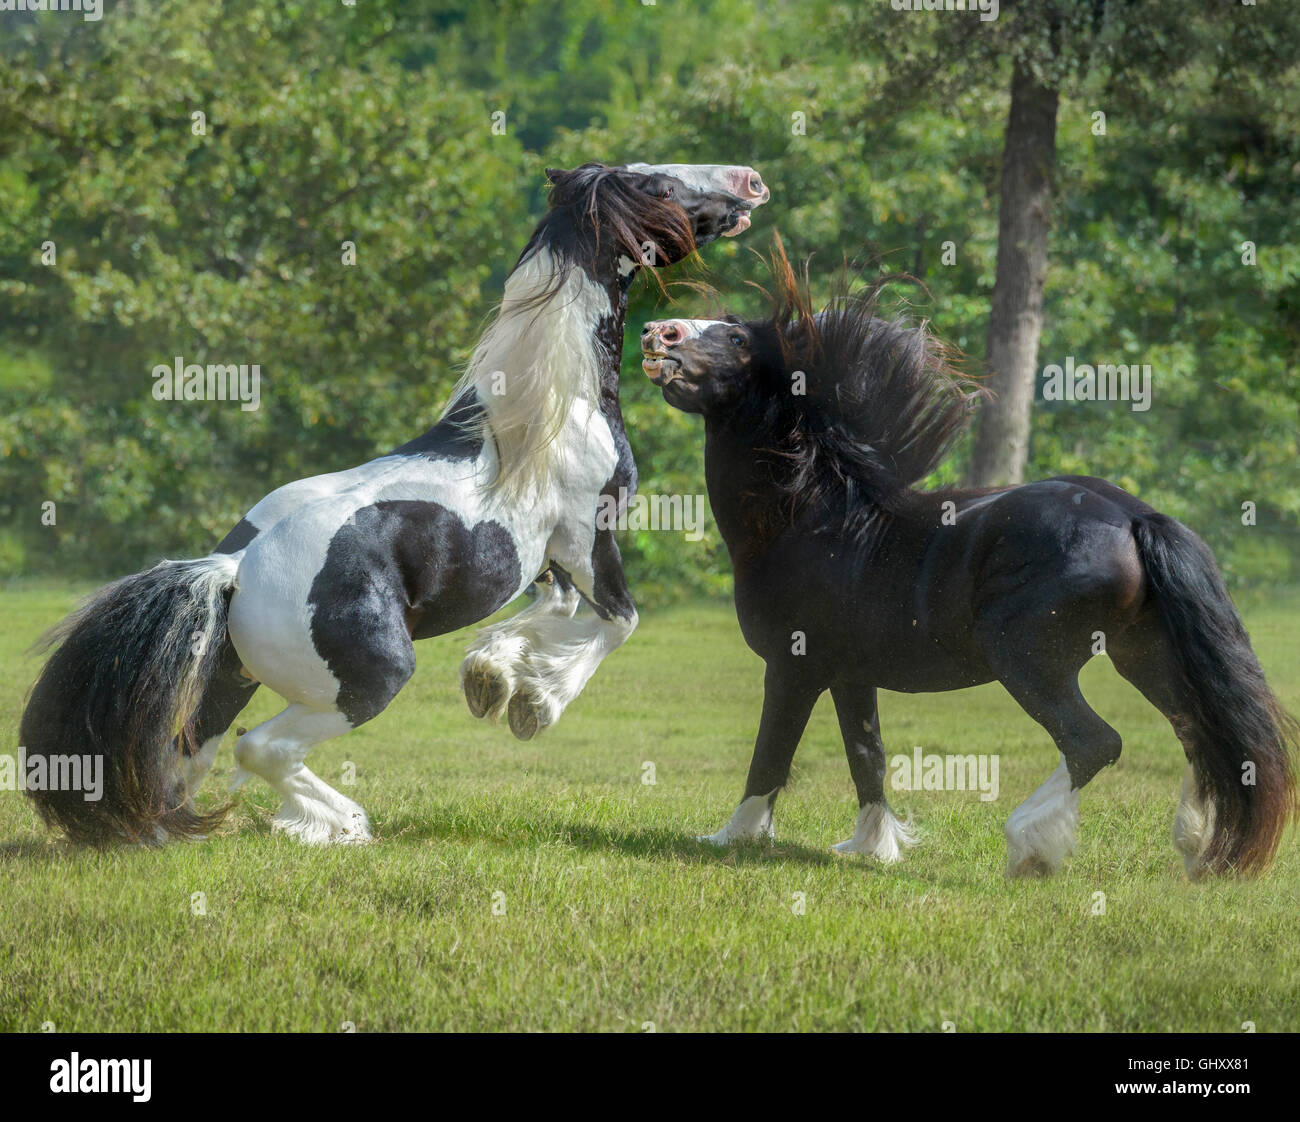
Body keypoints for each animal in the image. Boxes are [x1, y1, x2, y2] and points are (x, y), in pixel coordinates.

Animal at [20, 161, 770, 848]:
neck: (545, 414)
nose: (750, 184)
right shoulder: (589, 534)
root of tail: (230, 571)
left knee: (190, 753)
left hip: (229, 679)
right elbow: (617, 622)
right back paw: (340, 824)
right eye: (658, 185)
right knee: (259, 749)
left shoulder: (539, 558)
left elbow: (551, 609)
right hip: (369, 681)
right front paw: (534, 703)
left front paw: (491, 676)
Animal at [638, 249, 1298, 879]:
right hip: (1143, 653)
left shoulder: (794, 666)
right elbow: (867, 756)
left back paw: (1030, 848)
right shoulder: (850, 673)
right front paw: (874, 847)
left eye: (736, 338)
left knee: (1094, 743)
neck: (811, 518)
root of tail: (1134, 518)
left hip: (1027, 656)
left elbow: (769, 756)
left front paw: (731, 838)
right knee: (1194, 731)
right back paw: (1194, 846)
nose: (656, 333)